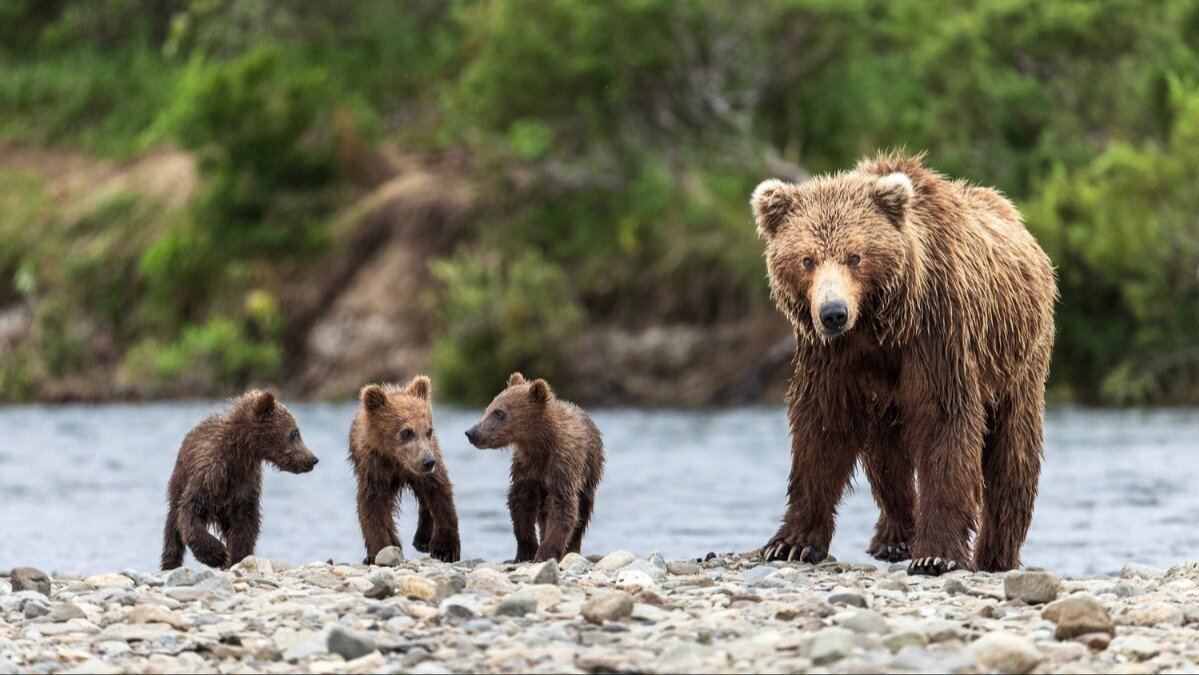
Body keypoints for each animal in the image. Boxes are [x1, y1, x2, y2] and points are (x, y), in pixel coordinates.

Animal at [161, 389, 319, 570]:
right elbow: (191, 512)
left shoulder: (244, 487)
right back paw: (170, 563)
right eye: (294, 432)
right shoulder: (208, 476)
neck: (238, 457)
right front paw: (217, 554)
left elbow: (246, 525)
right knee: (173, 524)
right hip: (179, 480)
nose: (312, 458)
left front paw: (235, 558)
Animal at [349, 376, 461, 563]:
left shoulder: (427, 465)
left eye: (428, 430)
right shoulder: (375, 469)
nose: (428, 462)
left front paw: (445, 549)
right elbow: (372, 506)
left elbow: (440, 494)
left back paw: (422, 539)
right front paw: (379, 550)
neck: (398, 461)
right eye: (407, 432)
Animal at [465, 373, 604, 563]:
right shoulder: (526, 467)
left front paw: (545, 553)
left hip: (590, 470)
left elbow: (563, 506)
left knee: (583, 509)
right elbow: (521, 504)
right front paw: (526, 551)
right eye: (487, 409)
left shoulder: (562, 464)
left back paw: (572, 548)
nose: (472, 433)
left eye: (499, 413)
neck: (539, 443)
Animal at [750, 152, 1055, 576]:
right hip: (889, 399)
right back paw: (894, 537)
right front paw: (790, 543)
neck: (879, 324)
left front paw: (936, 554)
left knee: (1014, 452)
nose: (833, 313)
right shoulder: (832, 358)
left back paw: (997, 552)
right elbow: (823, 428)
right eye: (807, 259)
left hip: (1018, 359)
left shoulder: (938, 335)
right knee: (886, 456)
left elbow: (946, 425)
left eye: (855, 256)